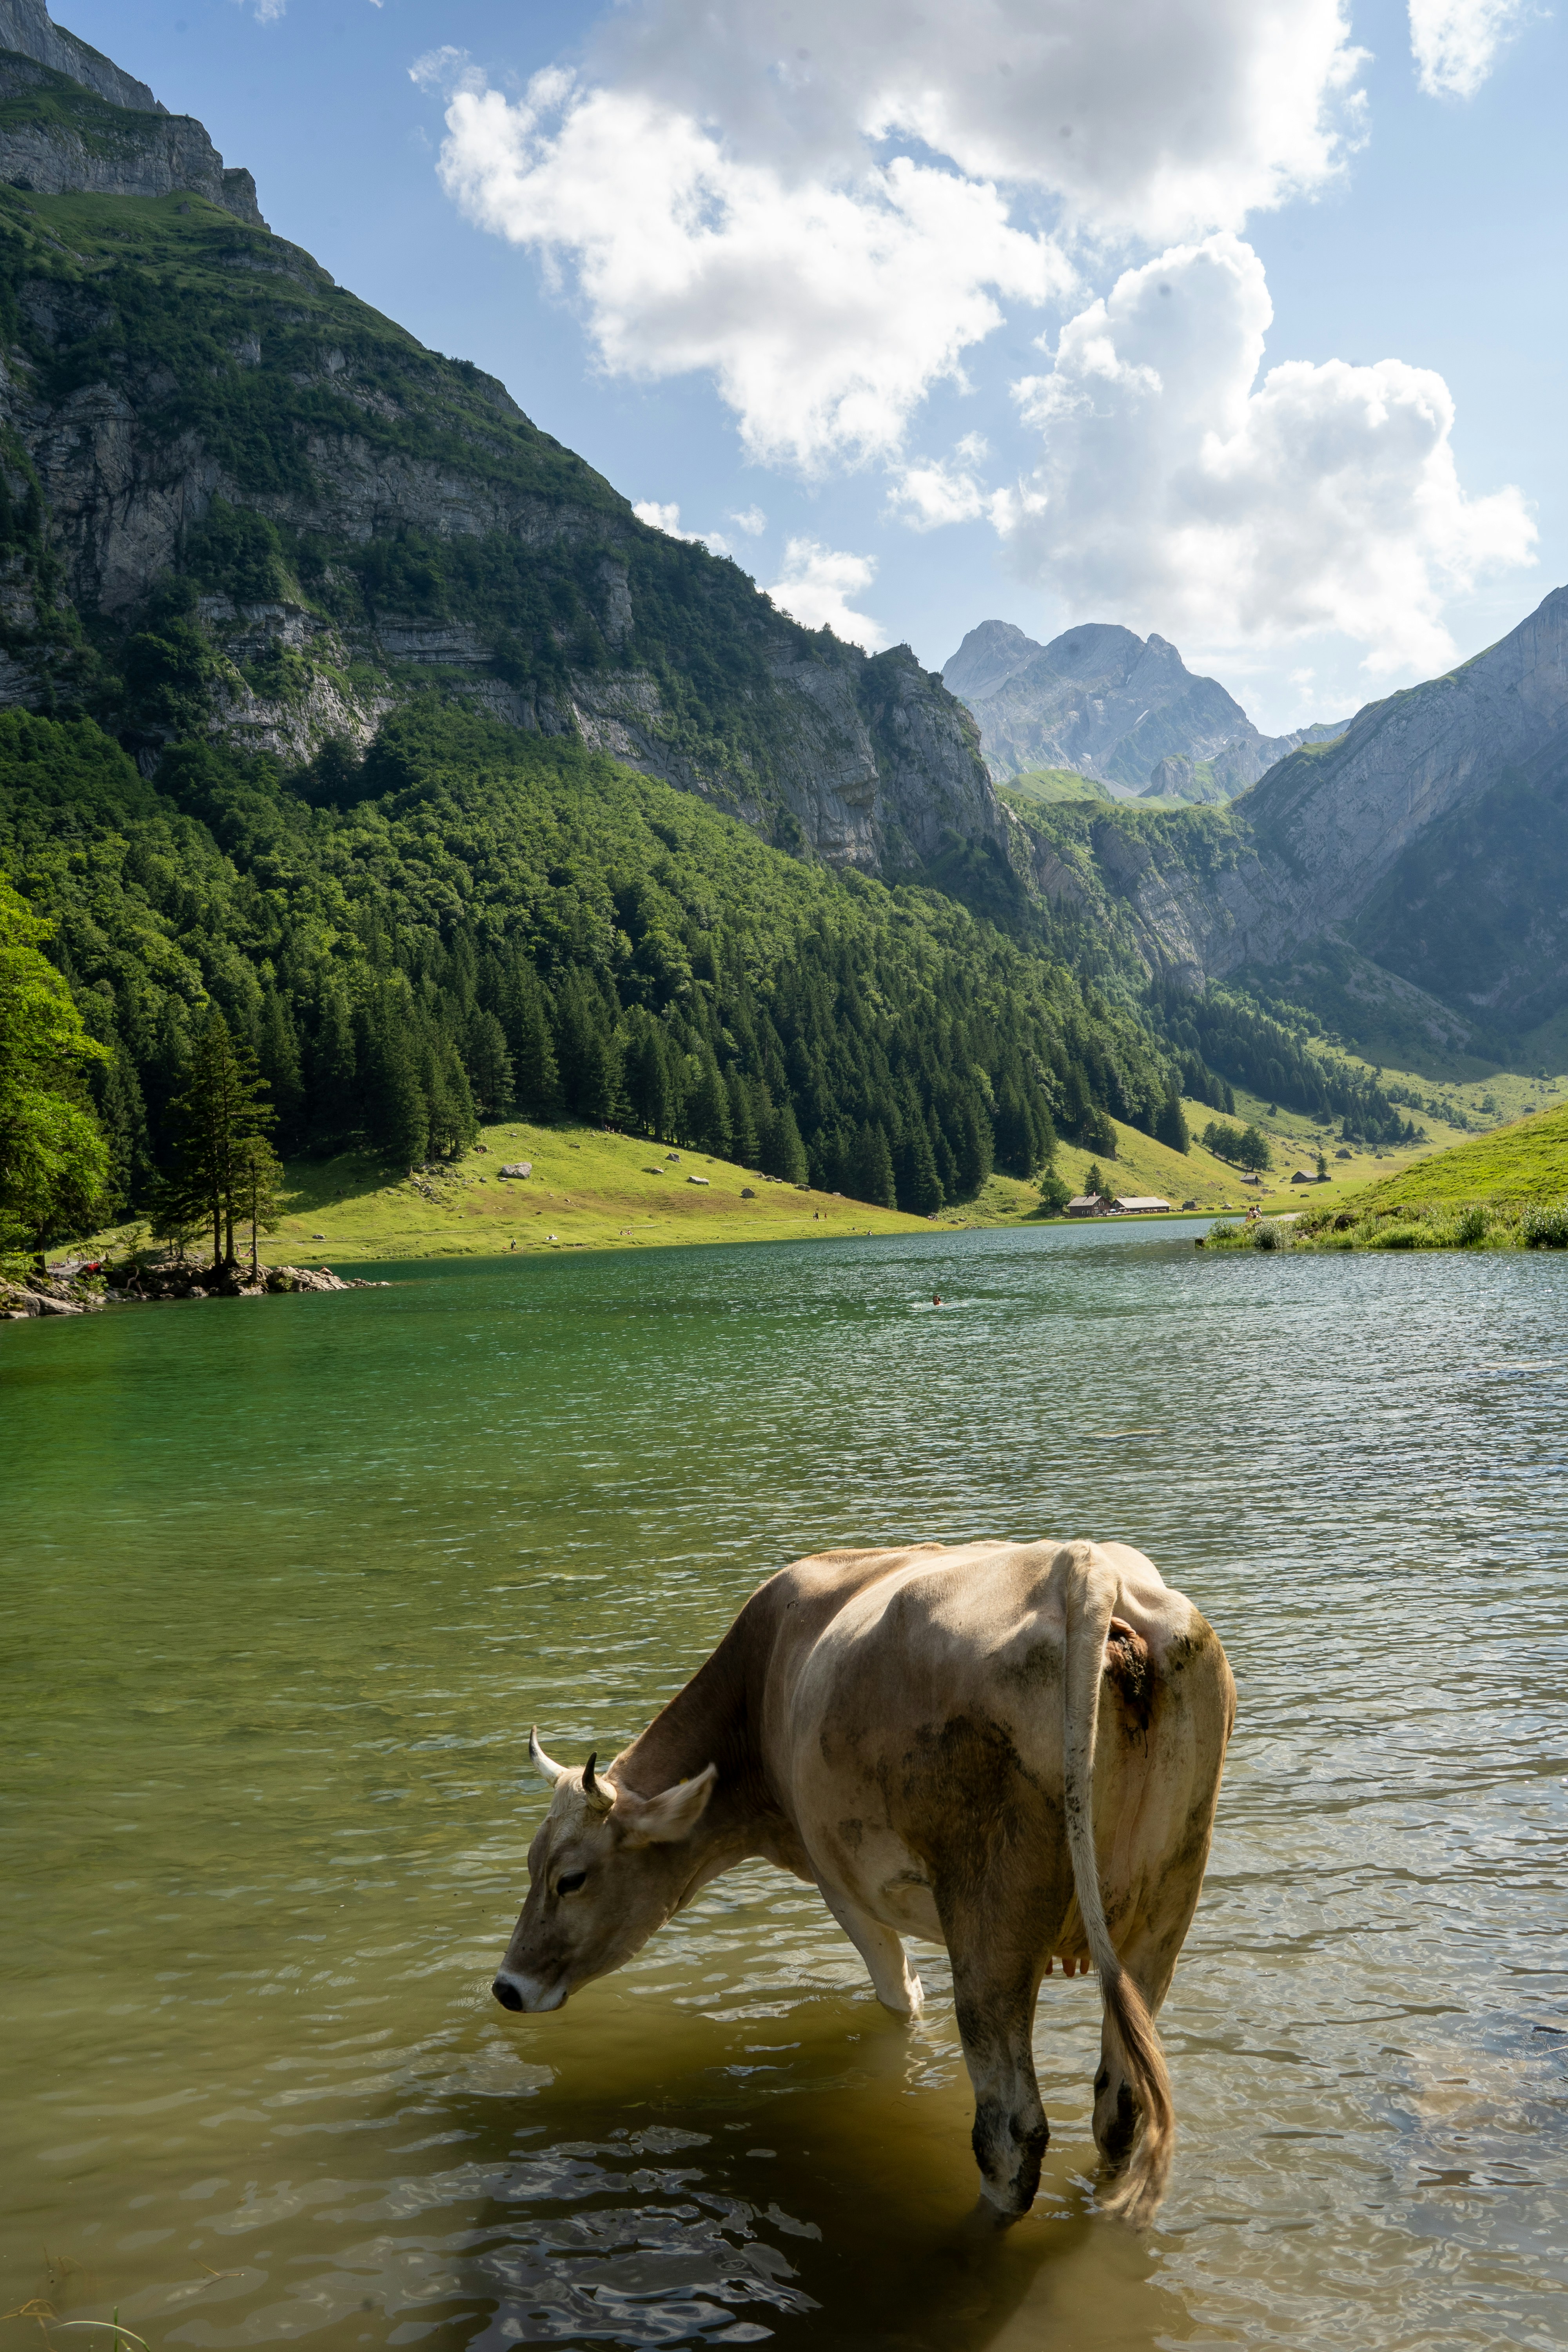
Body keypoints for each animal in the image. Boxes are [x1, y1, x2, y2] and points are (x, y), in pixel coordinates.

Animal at [492, 1538, 1235, 2226]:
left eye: (570, 1879)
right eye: (530, 1864)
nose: (507, 1988)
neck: (761, 1686)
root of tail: (1081, 1567)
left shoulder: (840, 1886)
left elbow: (899, 1997)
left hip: (991, 1923)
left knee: (1009, 2133)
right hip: (1166, 1907)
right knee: (1122, 2101)